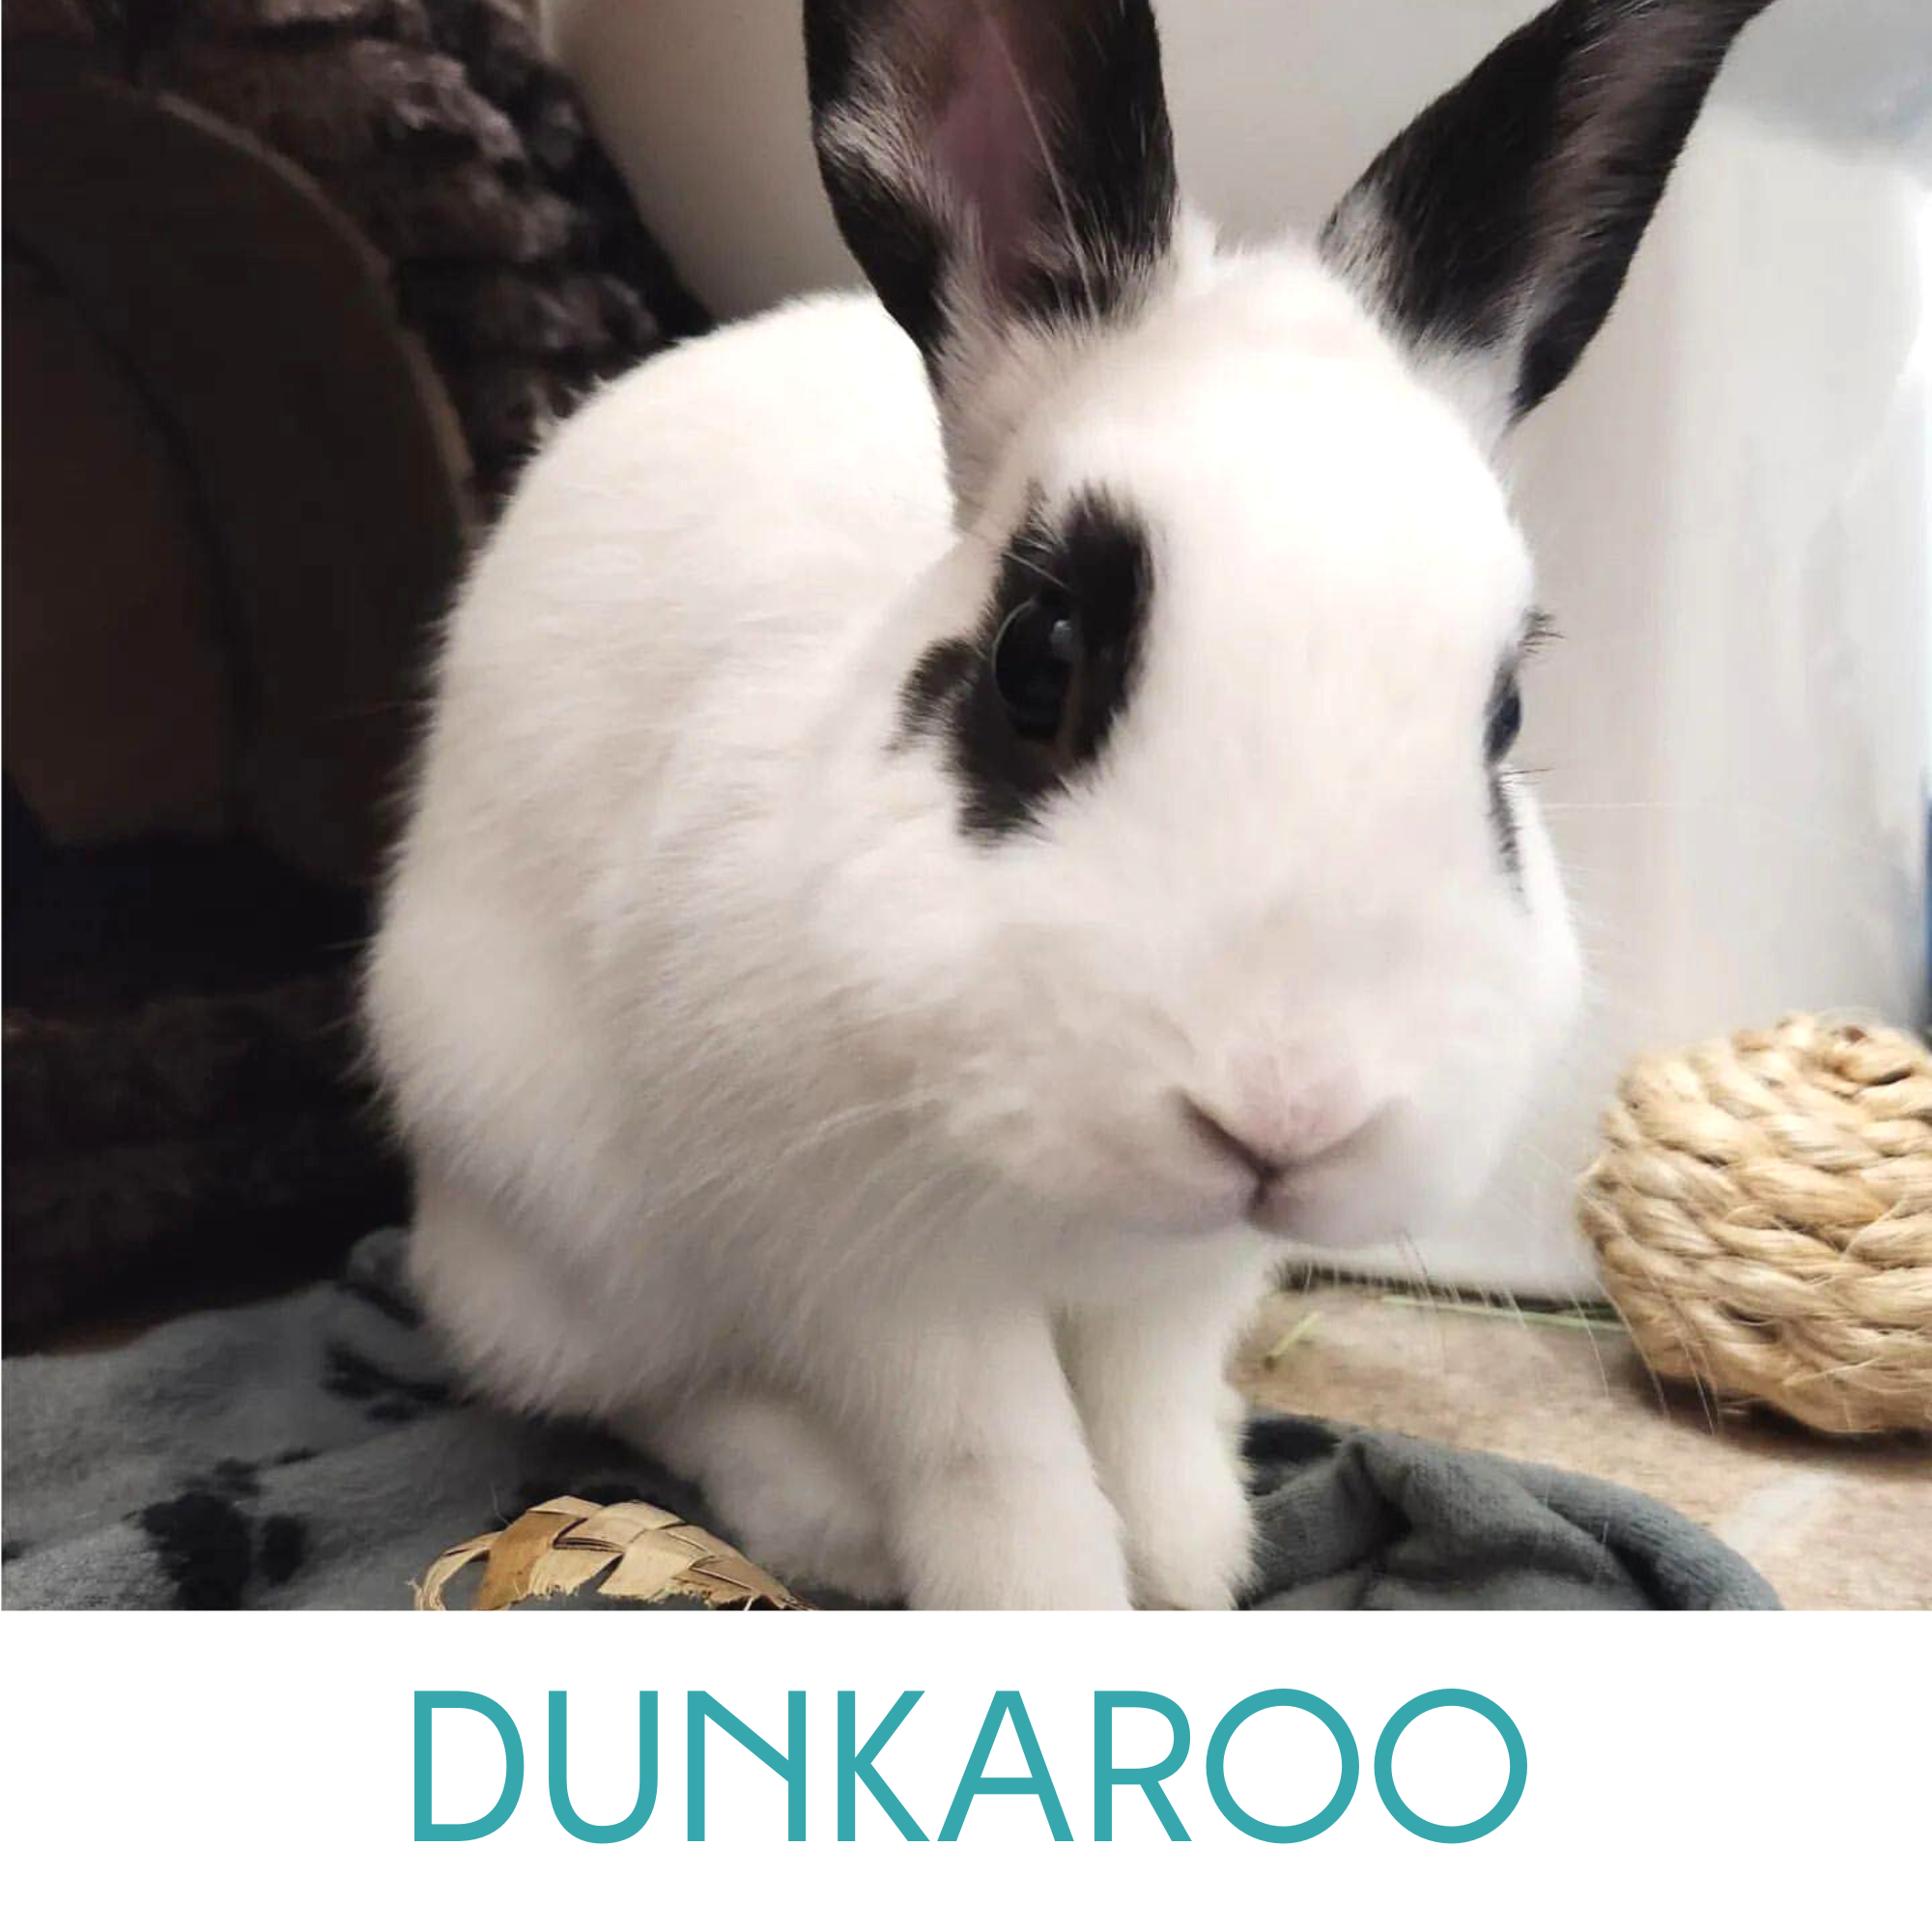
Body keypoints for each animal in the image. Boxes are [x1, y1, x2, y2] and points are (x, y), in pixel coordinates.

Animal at [365, 0, 1776, 1609]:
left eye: (1508, 719)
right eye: (1035, 660)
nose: (1287, 1114)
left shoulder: (1175, 1291)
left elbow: (1146, 1437)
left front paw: (1189, 1570)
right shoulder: (872, 1272)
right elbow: (1001, 1466)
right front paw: (1045, 1599)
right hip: (558, 1211)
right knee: (633, 1379)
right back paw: (813, 1507)